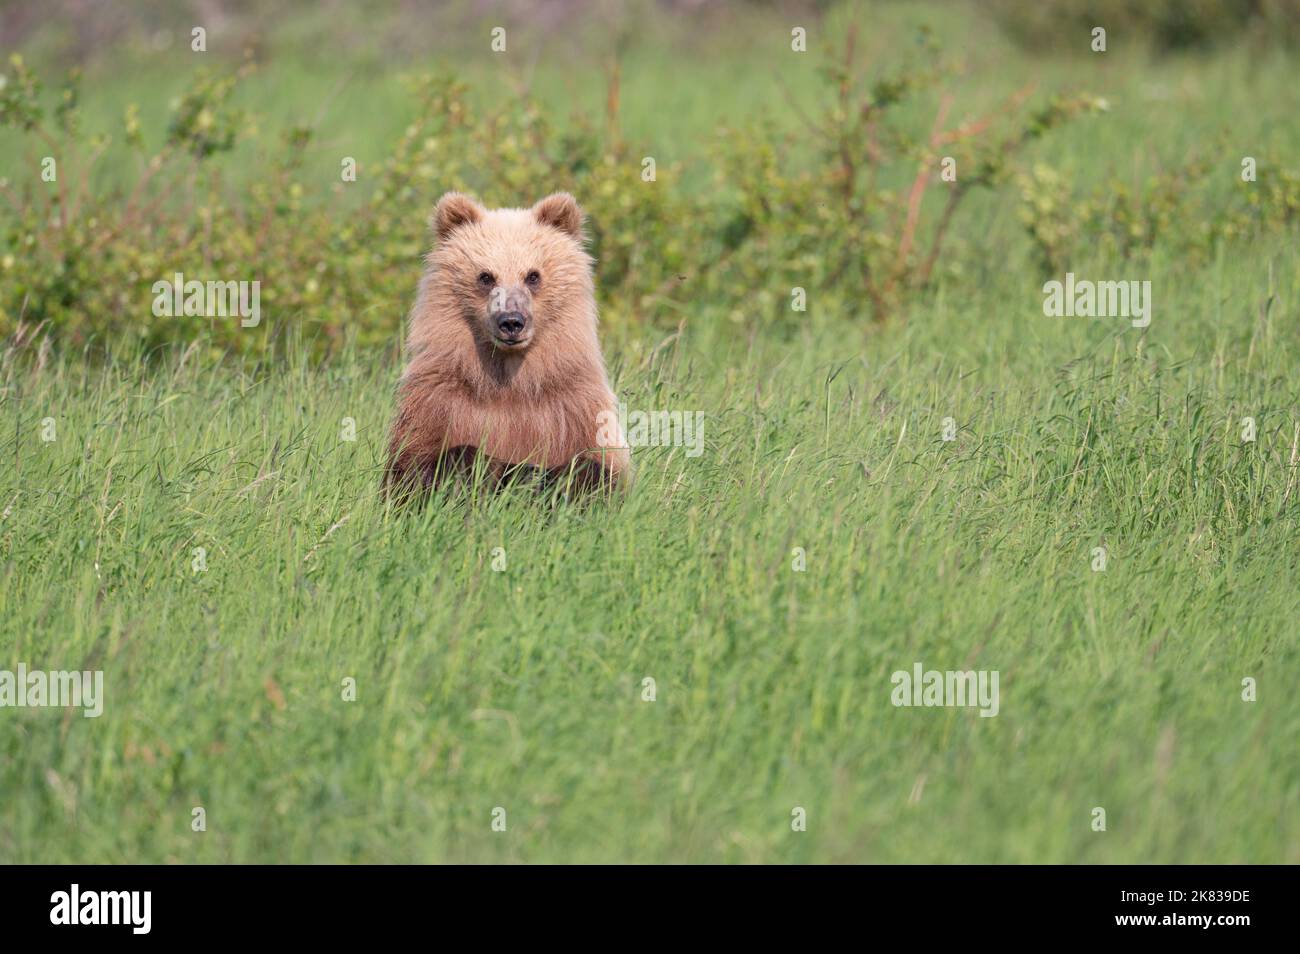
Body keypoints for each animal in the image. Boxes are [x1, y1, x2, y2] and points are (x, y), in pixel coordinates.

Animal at [384, 191, 630, 499]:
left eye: (533, 275)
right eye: (486, 276)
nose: (512, 322)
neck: (509, 380)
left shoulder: (572, 407)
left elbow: (598, 469)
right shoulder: (441, 402)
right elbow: (412, 468)